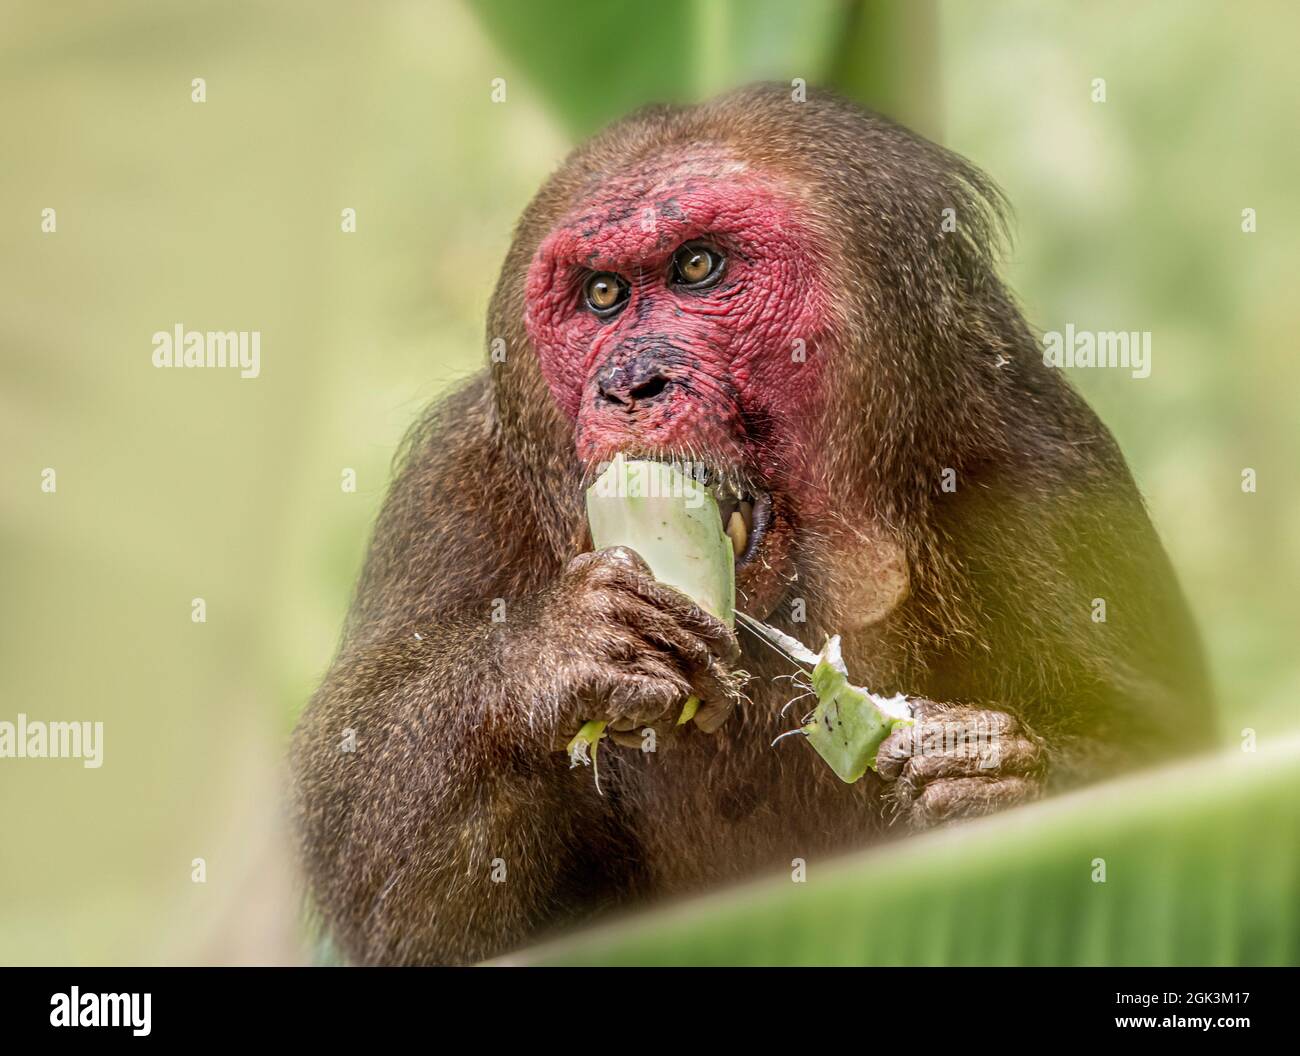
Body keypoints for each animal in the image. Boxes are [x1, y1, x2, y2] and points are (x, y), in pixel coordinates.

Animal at [290, 84, 1212, 966]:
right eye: (602, 295)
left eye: (698, 266)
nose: (630, 382)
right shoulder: (450, 492)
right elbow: (401, 909)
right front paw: (556, 652)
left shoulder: (1044, 469)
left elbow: (1158, 749)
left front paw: (989, 777)